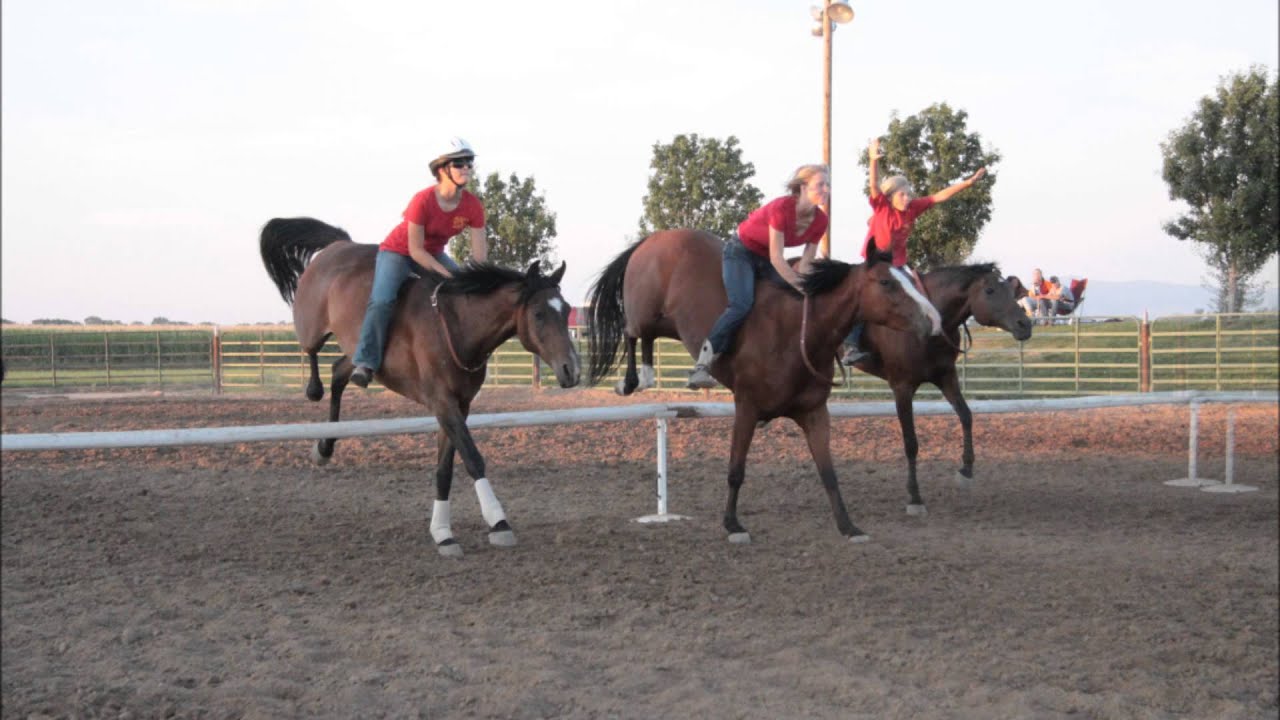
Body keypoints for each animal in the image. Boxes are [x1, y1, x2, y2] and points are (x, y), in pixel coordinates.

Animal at [259, 217, 582, 557]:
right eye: (538, 314)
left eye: (566, 310)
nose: (571, 370)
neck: (458, 328)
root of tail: (339, 245)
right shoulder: (442, 402)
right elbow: (473, 458)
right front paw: (498, 521)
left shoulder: (459, 406)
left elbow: (445, 469)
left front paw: (443, 532)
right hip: (312, 326)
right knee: (311, 352)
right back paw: (313, 392)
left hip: (358, 349)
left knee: (339, 372)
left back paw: (325, 446)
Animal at [586, 229, 934, 543]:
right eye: (887, 282)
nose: (932, 318)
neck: (798, 335)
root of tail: (652, 239)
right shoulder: (747, 407)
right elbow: (736, 469)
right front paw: (732, 524)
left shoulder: (814, 413)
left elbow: (829, 473)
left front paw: (848, 526)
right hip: (646, 312)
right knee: (632, 330)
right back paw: (631, 381)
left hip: (668, 322)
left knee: (645, 337)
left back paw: (646, 376)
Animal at [849, 260, 1032, 515]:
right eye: (990, 290)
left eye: (1012, 291)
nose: (1026, 325)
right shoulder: (902, 388)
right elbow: (911, 442)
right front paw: (915, 497)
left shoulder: (947, 377)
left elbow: (966, 415)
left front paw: (966, 471)